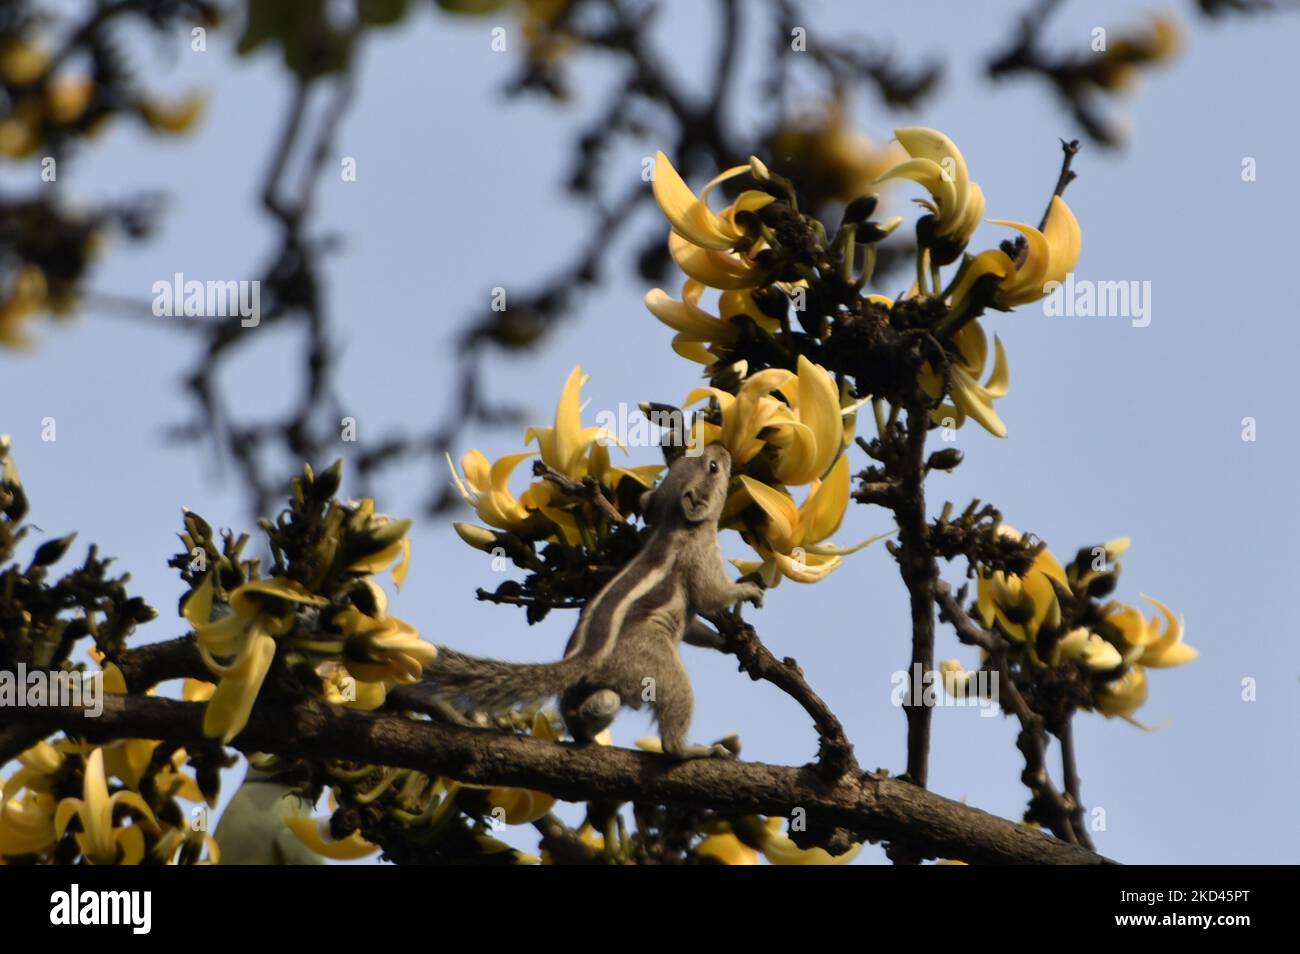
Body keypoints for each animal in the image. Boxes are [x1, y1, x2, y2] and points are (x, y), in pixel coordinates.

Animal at [428, 442, 763, 759]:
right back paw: (695, 750)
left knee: (589, 710)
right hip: (656, 667)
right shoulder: (700, 557)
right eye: (713, 467)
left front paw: (724, 641)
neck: (673, 525)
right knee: (672, 726)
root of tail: (586, 659)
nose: (721, 447)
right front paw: (749, 590)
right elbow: (712, 594)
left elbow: (694, 628)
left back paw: (592, 719)